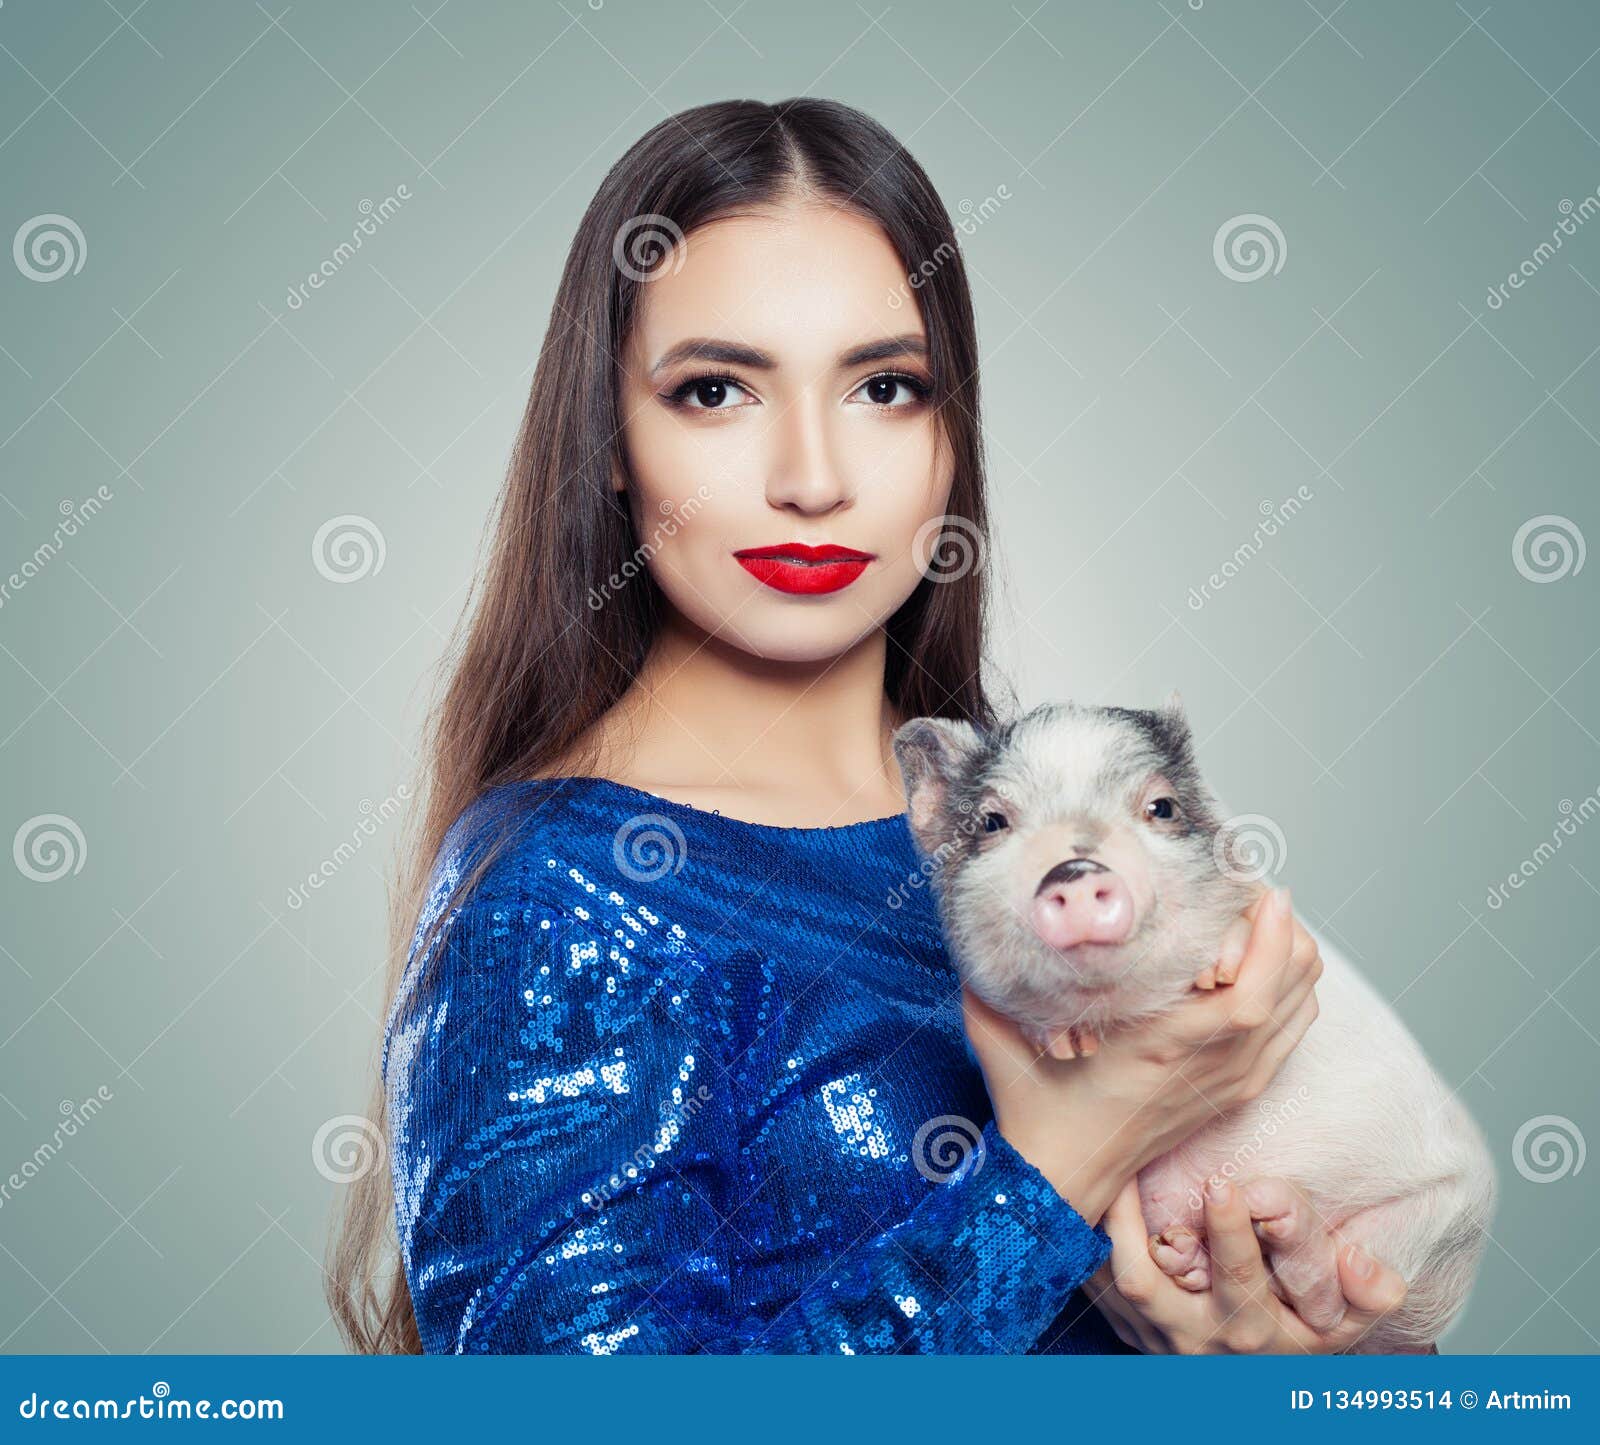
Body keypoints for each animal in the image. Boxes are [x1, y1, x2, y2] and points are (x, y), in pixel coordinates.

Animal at [891, 695, 1496, 1353]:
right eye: (992, 822)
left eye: (1162, 807)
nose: (1075, 869)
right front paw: (1065, 1043)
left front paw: (1217, 972)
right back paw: (1193, 1253)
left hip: (1431, 1231)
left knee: (1328, 1281)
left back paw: (1270, 1214)